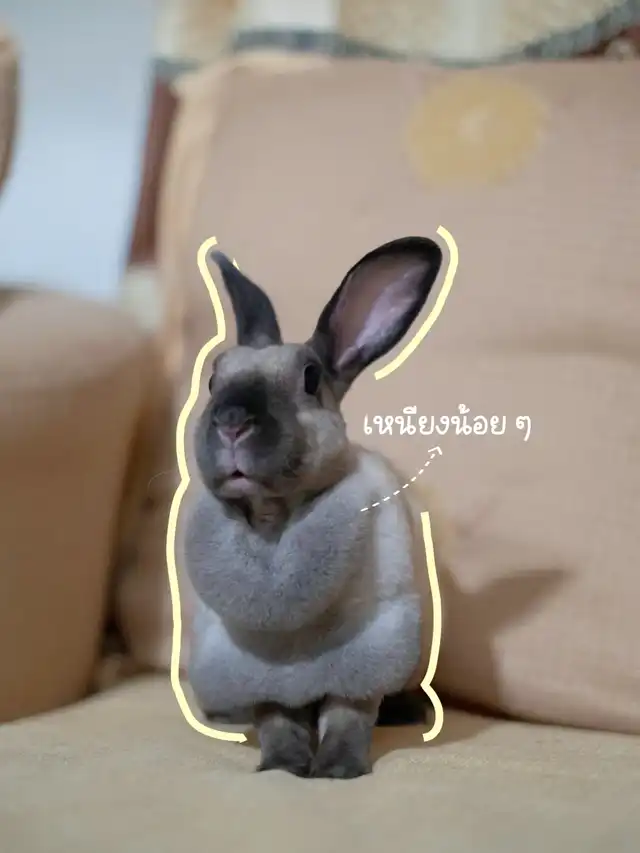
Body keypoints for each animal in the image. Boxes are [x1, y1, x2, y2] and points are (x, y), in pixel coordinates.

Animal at [183, 236, 444, 779]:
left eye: (309, 378)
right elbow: (276, 723)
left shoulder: (361, 666)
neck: (272, 521)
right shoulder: (262, 680)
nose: (232, 420)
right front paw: (284, 767)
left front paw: (338, 770)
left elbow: (349, 719)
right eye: (214, 380)